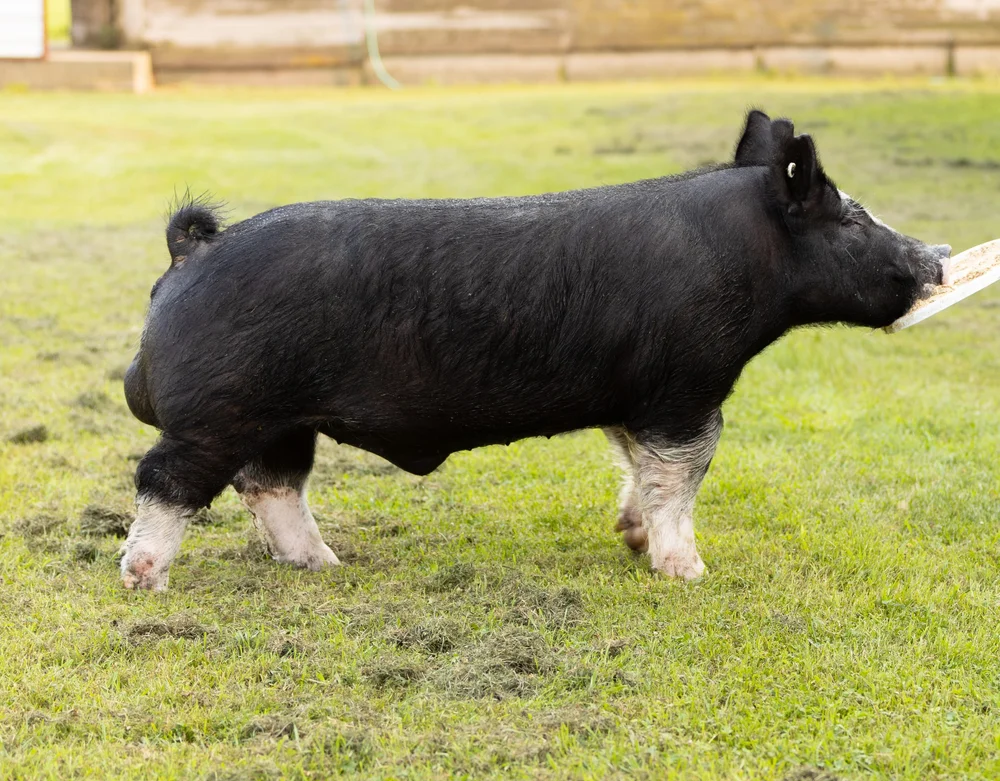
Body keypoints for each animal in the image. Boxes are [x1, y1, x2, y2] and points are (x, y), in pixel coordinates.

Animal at [121, 110, 950, 590]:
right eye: (852, 218)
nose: (935, 257)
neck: (746, 258)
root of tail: (191, 253)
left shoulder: (633, 396)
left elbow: (637, 468)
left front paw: (631, 539)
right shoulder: (687, 386)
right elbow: (680, 476)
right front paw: (688, 572)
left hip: (280, 419)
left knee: (272, 485)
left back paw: (328, 566)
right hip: (223, 408)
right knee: (166, 478)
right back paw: (143, 577)